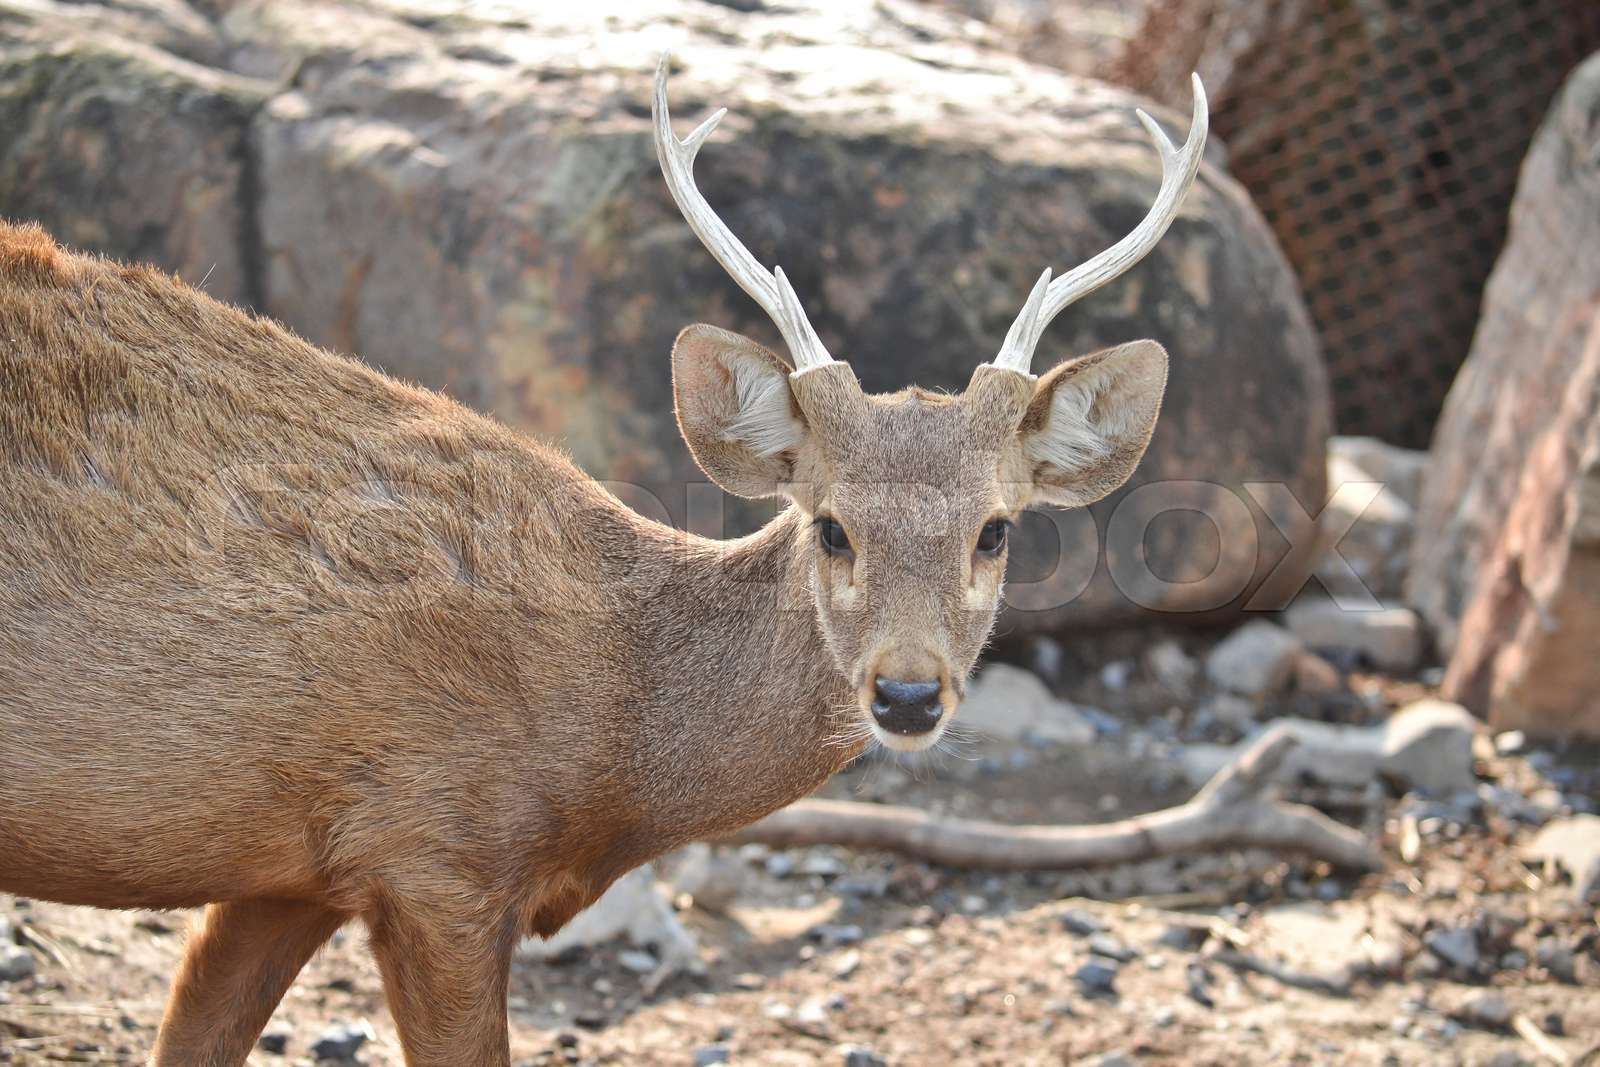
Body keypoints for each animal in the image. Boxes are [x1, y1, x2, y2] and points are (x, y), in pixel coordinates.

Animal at [0, 56, 1206, 1067]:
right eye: (830, 524)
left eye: (995, 528)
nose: (907, 693)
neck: (610, 740)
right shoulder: (434, 847)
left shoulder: (292, 869)